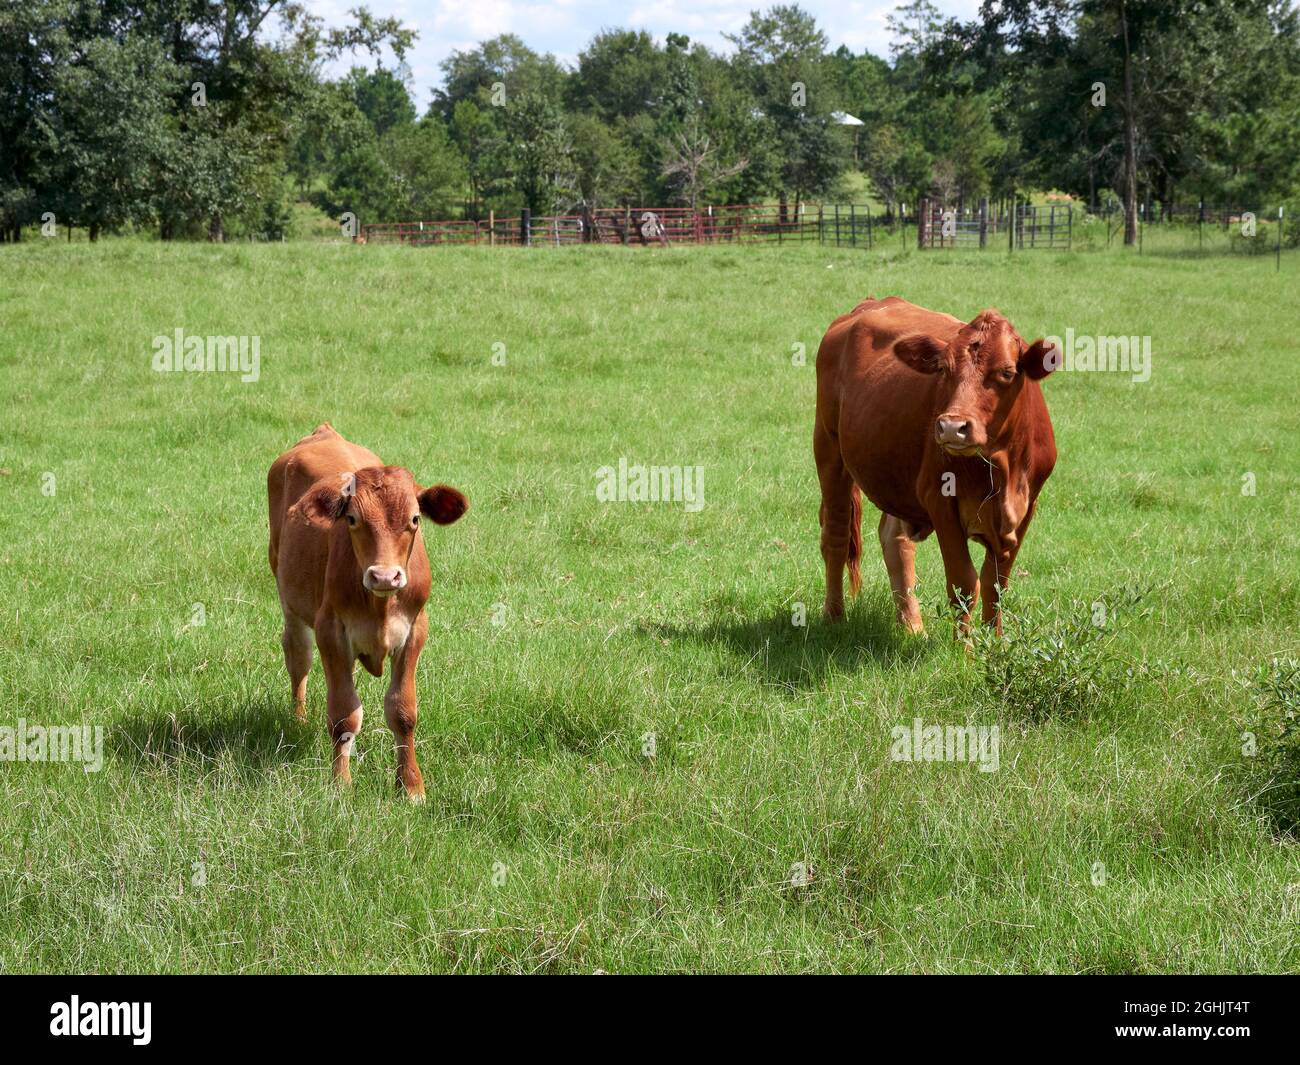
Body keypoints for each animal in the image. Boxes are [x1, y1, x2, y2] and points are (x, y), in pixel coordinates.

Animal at [267, 424, 468, 800]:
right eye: (352, 518)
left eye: (415, 519)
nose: (385, 575)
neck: (381, 606)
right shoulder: (330, 631)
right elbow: (343, 715)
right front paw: (340, 784)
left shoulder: (415, 629)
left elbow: (403, 711)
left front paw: (410, 785)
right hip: (290, 602)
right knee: (298, 658)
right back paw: (298, 720)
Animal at [814, 297, 1058, 635]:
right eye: (943, 368)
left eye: (1007, 373)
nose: (952, 427)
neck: (1000, 469)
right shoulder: (940, 500)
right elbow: (964, 584)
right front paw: (964, 648)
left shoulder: (1027, 506)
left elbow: (995, 585)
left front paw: (993, 642)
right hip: (829, 449)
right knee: (836, 535)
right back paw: (835, 617)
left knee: (894, 539)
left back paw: (912, 626)